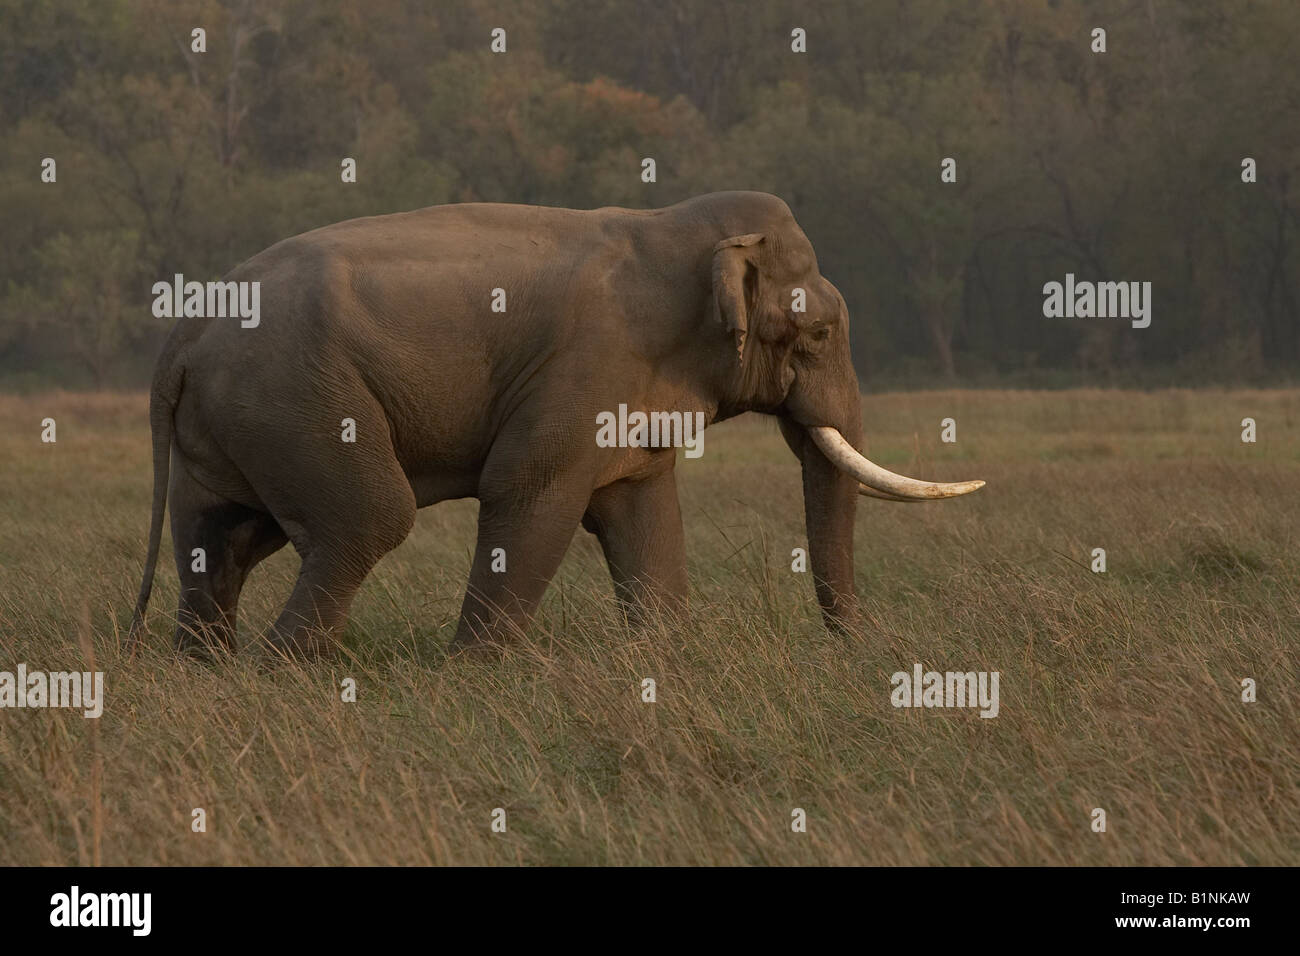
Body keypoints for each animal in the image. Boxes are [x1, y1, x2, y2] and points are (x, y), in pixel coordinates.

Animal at [128, 191, 984, 657]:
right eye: (818, 332)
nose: (872, 649)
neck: (669, 226)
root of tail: (181, 335)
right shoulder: (586, 367)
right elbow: (530, 492)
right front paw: (467, 677)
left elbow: (644, 512)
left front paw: (663, 666)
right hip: (296, 396)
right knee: (369, 518)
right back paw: (280, 671)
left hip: (235, 421)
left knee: (221, 537)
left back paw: (209, 673)